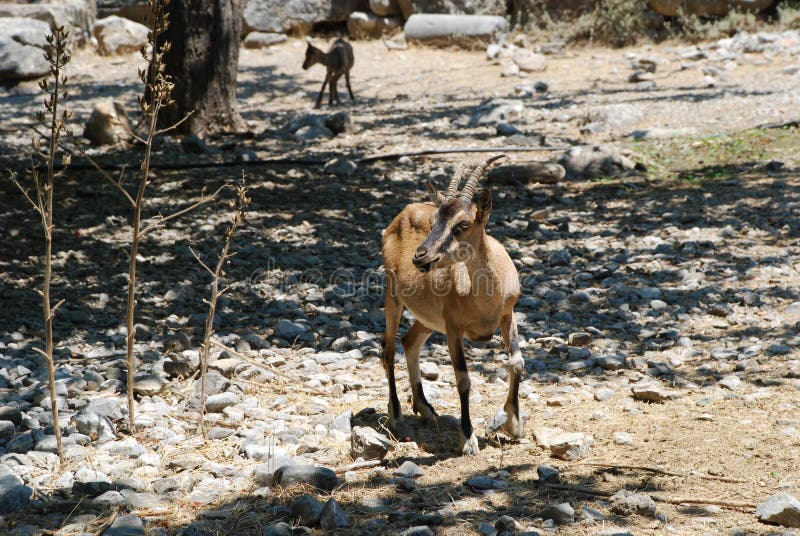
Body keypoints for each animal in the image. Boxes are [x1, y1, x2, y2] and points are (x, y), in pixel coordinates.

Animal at [380, 155, 524, 455]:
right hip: (393, 297)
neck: (484, 298)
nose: (420, 256)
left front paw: (514, 424)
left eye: (464, 224)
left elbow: (517, 362)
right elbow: (463, 379)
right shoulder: (453, 328)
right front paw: (468, 439)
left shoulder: (508, 314)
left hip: (427, 319)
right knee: (387, 348)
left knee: (409, 341)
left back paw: (426, 409)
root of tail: (402, 215)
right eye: (433, 220)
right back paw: (398, 418)